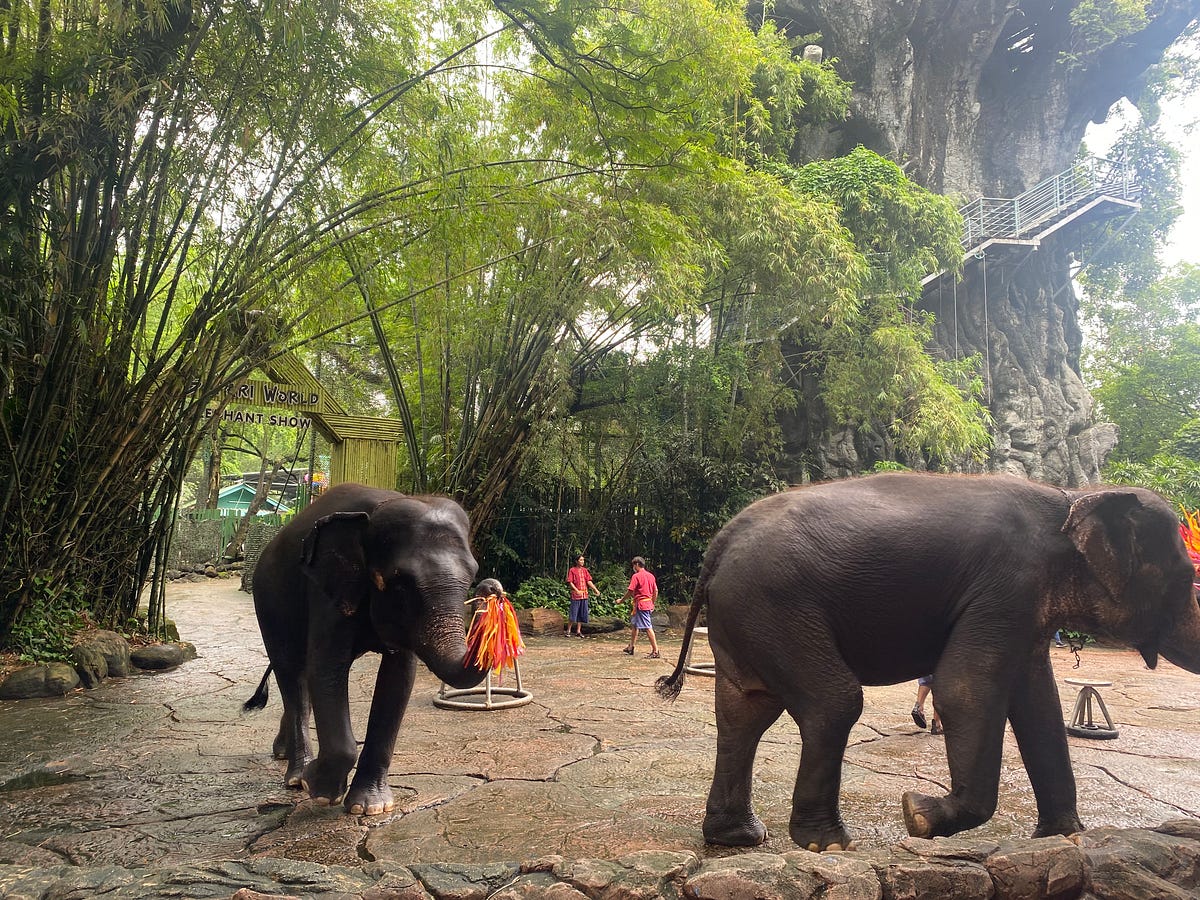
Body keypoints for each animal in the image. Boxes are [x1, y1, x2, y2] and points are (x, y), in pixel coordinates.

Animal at [243, 482, 496, 815]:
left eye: (471, 577)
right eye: (400, 584)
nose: (491, 588)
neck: (377, 510)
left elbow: (399, 678)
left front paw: (371, 807)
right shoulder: (327, 592)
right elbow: (327, 668)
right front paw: (317, 788)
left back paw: (283, 753)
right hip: (268, 599)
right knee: (291, 672)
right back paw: (297, 776)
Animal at [656, 472, 1200, 851]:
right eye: (1185, 576)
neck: (1075, 494)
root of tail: (719, 545)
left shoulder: (1022, 611)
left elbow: (1039, 706)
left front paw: (1065, 837)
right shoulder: (1007, 586)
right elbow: (964, 689)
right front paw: (918, 815)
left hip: (747, 618)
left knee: (743, 713)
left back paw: (739, 839)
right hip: (775, 606)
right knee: (833, 702)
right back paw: (827, 844)